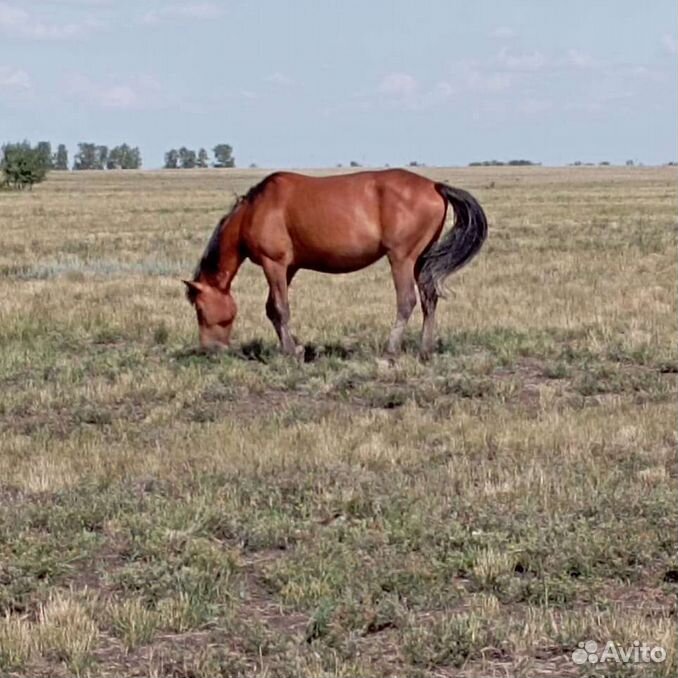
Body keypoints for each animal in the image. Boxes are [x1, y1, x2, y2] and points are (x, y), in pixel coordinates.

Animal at [184, 168, 487, 359]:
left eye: (199, 308)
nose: (210, 349)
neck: (255, 211)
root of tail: (435, 186)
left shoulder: (275, 264)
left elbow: (280, 308)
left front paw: (291, 352)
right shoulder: (288, 268)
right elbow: (272, 308)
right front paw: (293, 347)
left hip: (402, 258)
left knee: (407, 301)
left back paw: (390, 351)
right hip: (422, 259)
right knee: (429, 299)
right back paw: (425, 350)